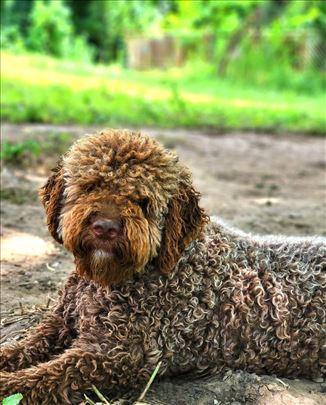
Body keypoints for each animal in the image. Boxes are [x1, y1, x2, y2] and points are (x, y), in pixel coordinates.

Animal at [0, 130, 324, 404]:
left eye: (142, 201)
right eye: (90, 186)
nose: (105, 228)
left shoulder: (112, 354)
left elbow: (41, 378)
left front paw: (8, 384)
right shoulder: (58, 325)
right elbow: (19, 349)